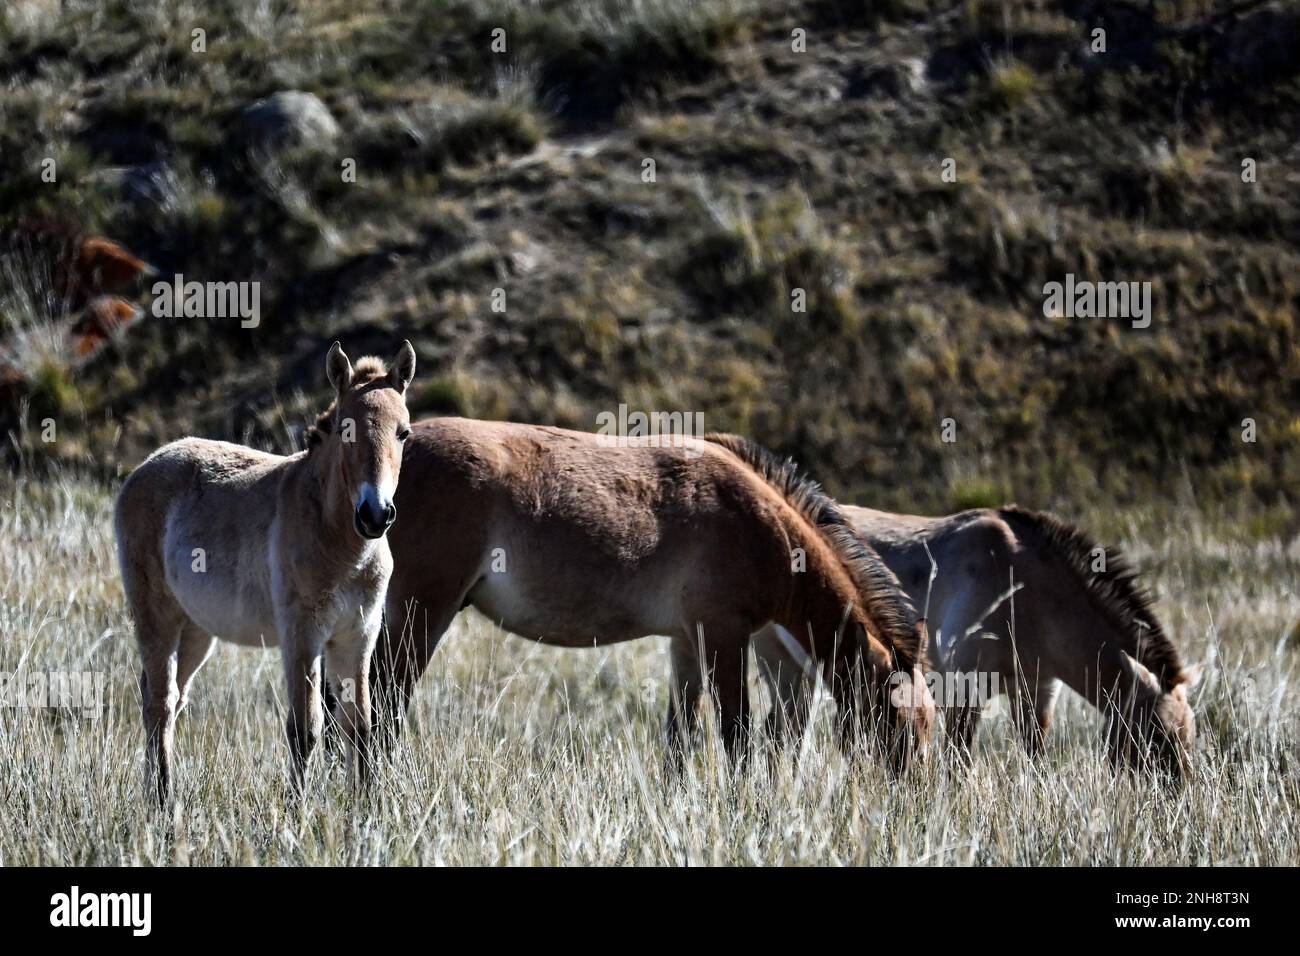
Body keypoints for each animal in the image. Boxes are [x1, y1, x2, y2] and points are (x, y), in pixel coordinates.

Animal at [114, 340, 416, 804]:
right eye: (346, 430)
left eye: (404, 433)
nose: (375, 515)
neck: (340, 542)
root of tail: (146, 465)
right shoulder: (301, 638)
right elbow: (304, 731)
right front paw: (297, 811)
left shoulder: (357, 639)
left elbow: (361, 728)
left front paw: (366, 809)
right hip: (156, 617)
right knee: (159, 703)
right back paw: (164, 803)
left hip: (196, 630)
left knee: (168, 698)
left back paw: (156, 795)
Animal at [348, 423, 935, 769]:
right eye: (904, 723)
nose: (913, 803)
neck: (763, 523)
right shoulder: (724, 635)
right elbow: (737, 737)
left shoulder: (686, 641)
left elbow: (681, 738)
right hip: (423, 614)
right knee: (382, 707)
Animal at [752, 505, 1203, 780]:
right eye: (1157, 737)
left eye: (1189, 737)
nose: (1177, 799)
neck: (1026, 586)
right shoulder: (965, 687)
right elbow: (959, 762)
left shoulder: (1037, 690)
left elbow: (1036, 757)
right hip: (780, 664)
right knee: (779, 734)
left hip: (804, 673)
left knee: (787, 732)